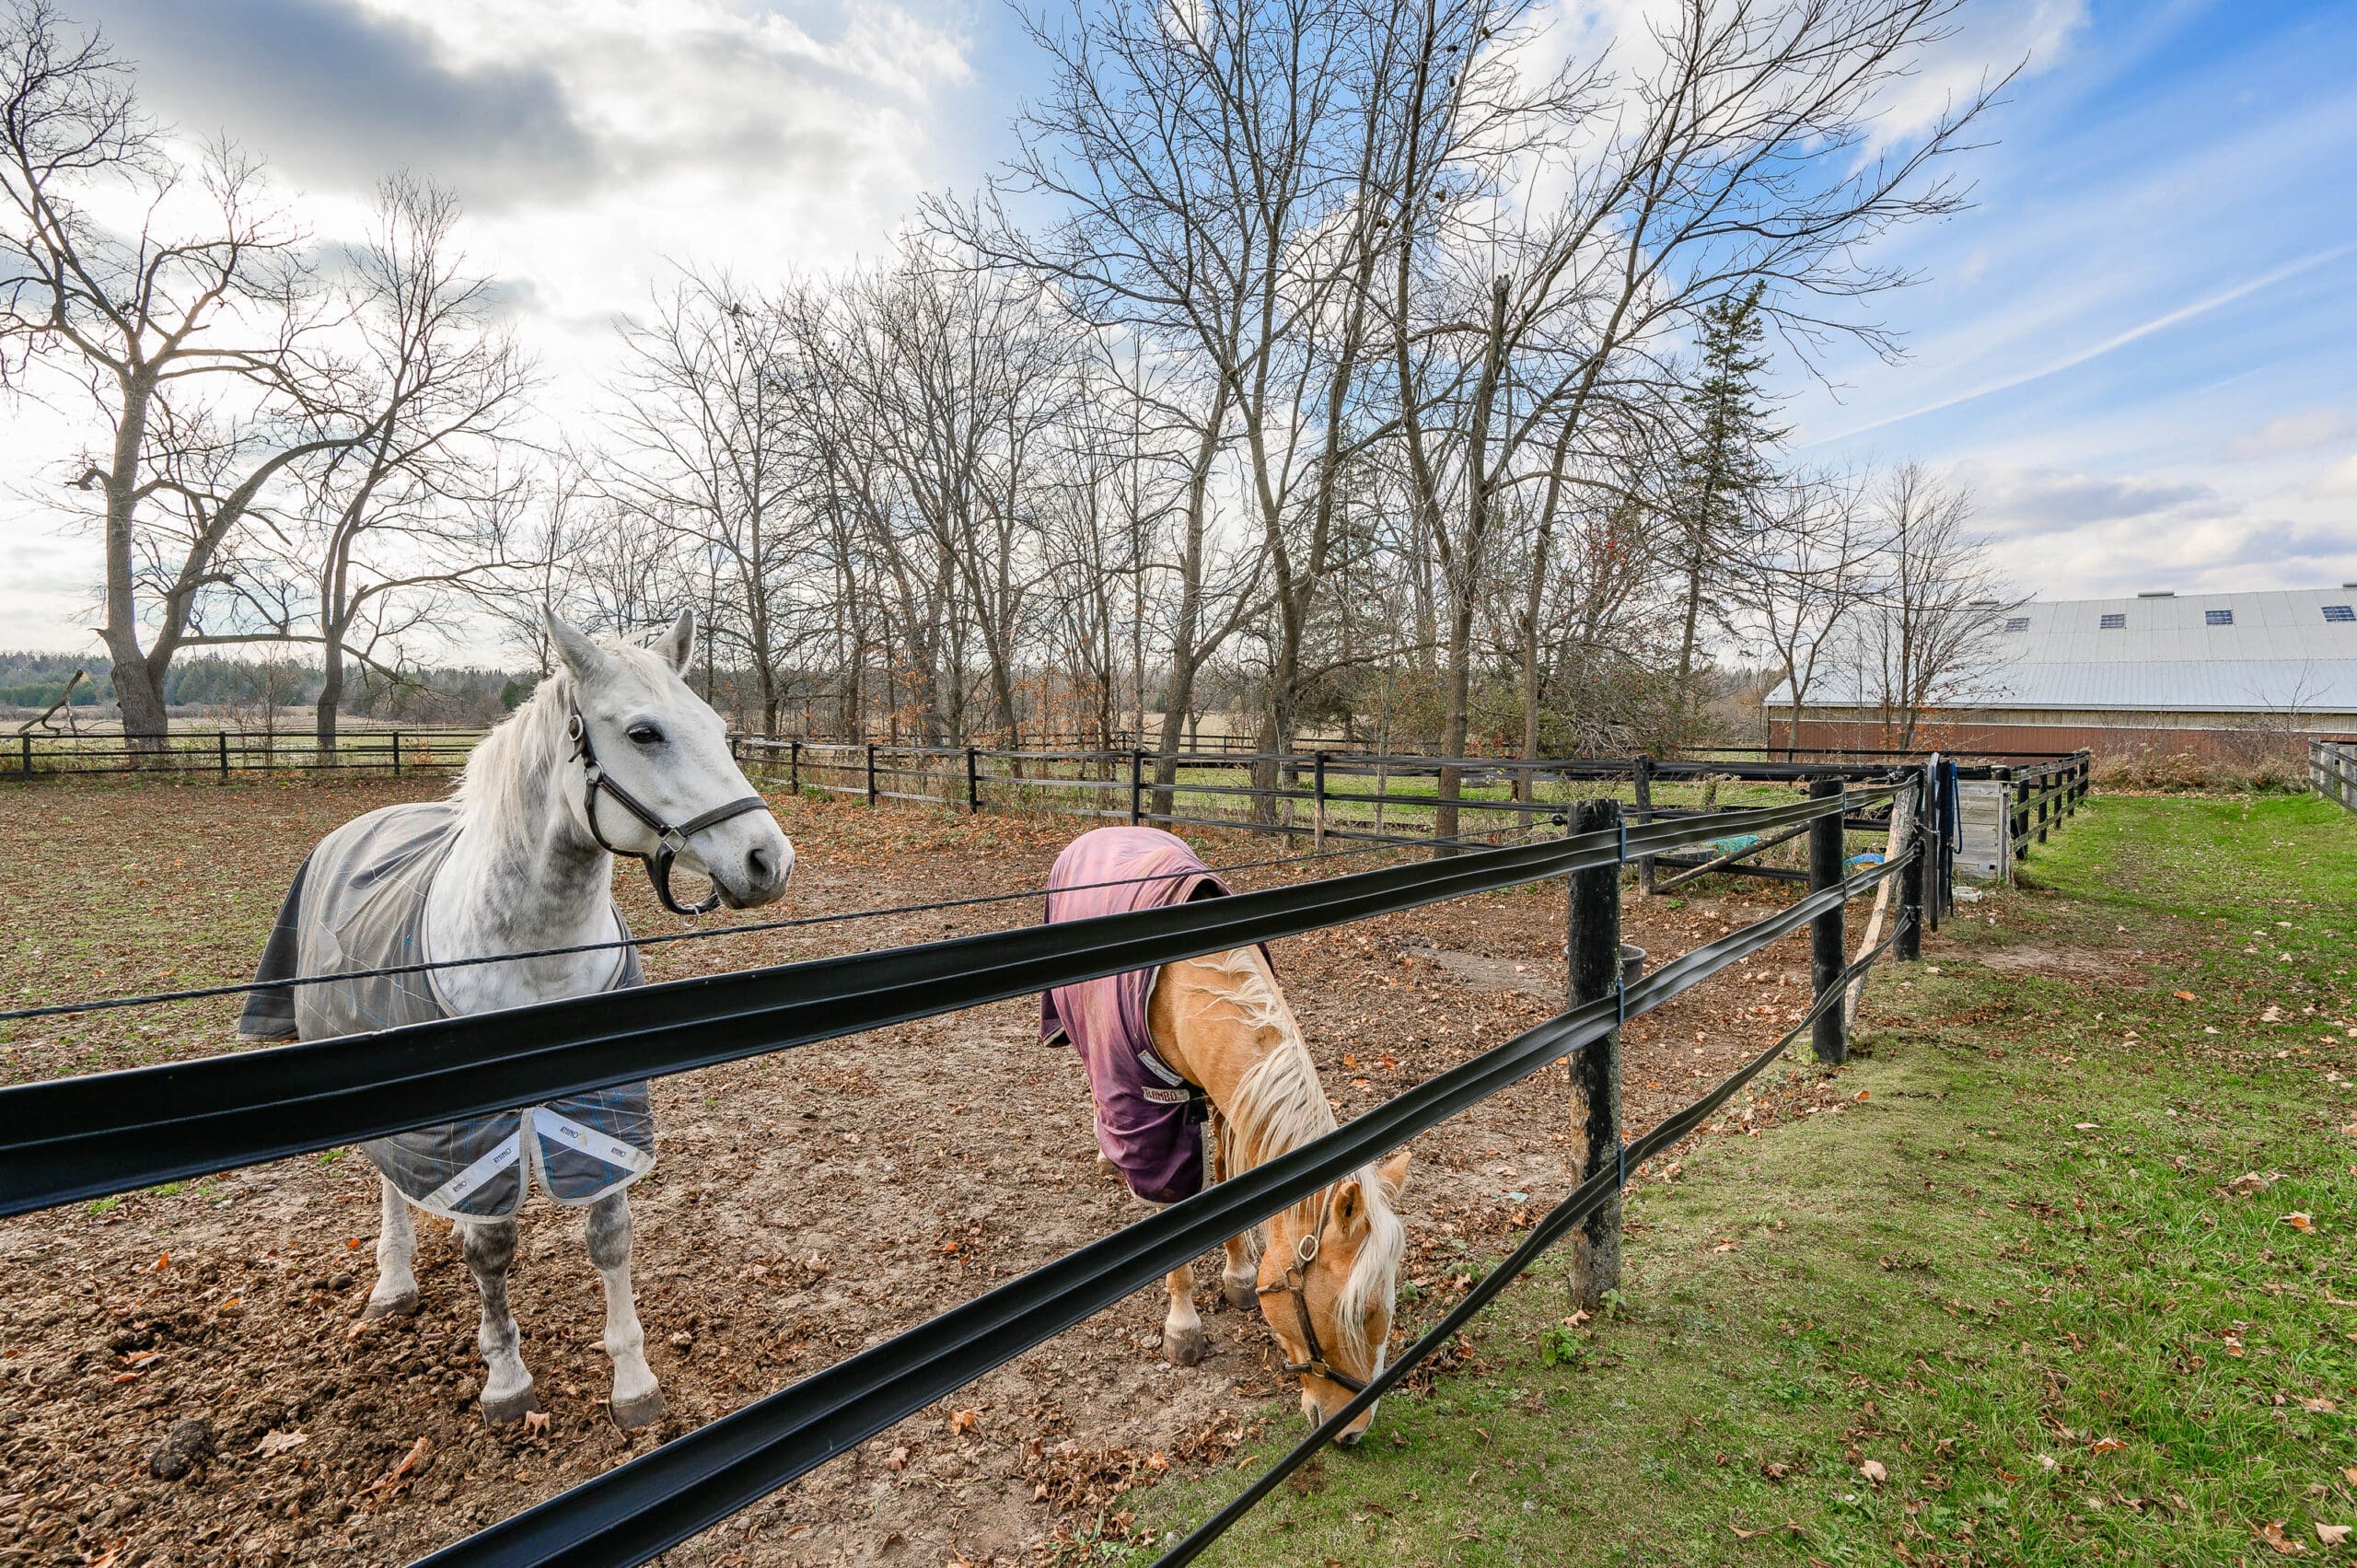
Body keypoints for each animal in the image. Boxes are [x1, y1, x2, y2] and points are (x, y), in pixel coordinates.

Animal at [238, 608, 792, 1428]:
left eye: (721, 731)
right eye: (644, 732)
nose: (768, 860)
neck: (535, 952)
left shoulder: (598, 1109)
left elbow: (610, 1235)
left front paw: (633, 1381)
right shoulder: (474, 1126)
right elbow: (491, 1248)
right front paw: (505, 1378)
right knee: (389, 1180)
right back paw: (392, 1283)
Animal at [1042, 827, 1411, 1445]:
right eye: (1354, 1313)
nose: (1355, 1432)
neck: (1184, 981)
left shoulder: (1225, 1100)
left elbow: (1228, 1184)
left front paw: (1237, 1276)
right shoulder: (1151, 1116)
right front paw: (1183, 1327)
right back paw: (1106, 1155)